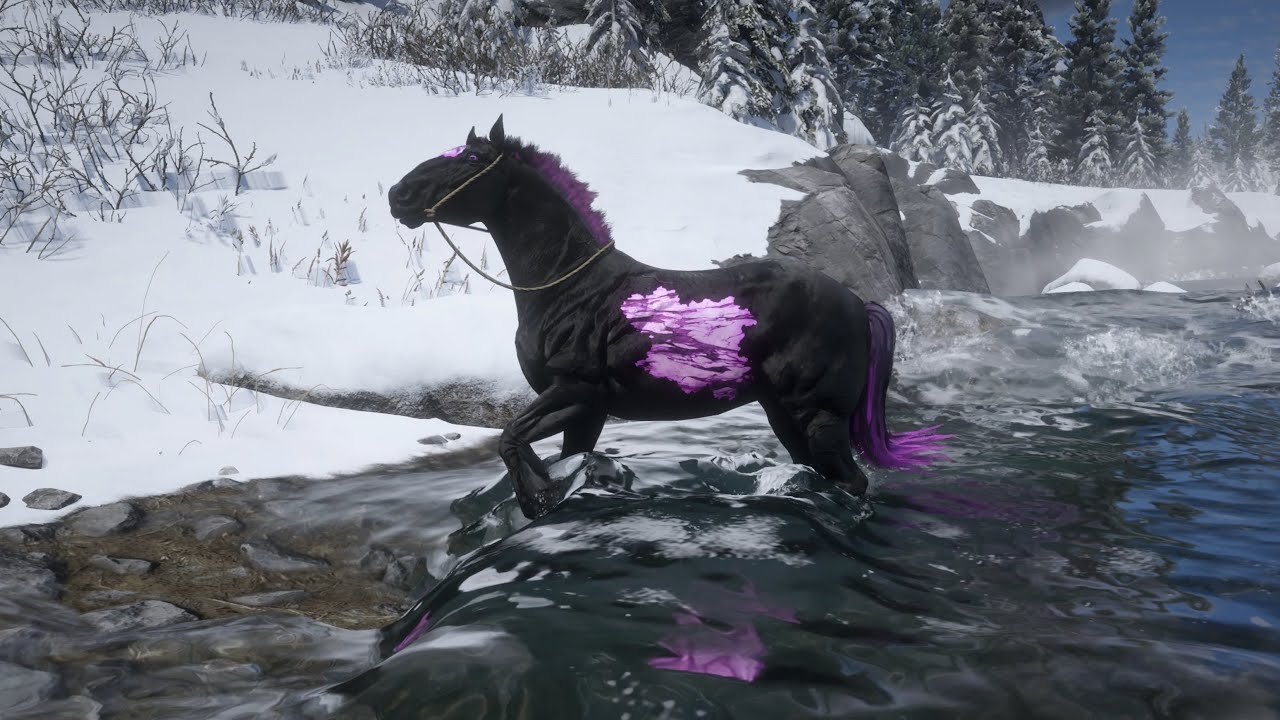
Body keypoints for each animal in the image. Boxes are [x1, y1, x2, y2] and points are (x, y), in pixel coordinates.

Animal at [388, 115, 948, 519]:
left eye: (472, 159)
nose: (399, 195)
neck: (570, 289)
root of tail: (858, 304)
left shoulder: (575, 392)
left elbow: (511, 438)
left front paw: (536, 498)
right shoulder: (587, 411)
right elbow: (558, 456)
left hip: (818, 416)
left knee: (853, 482)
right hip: (786, 416)